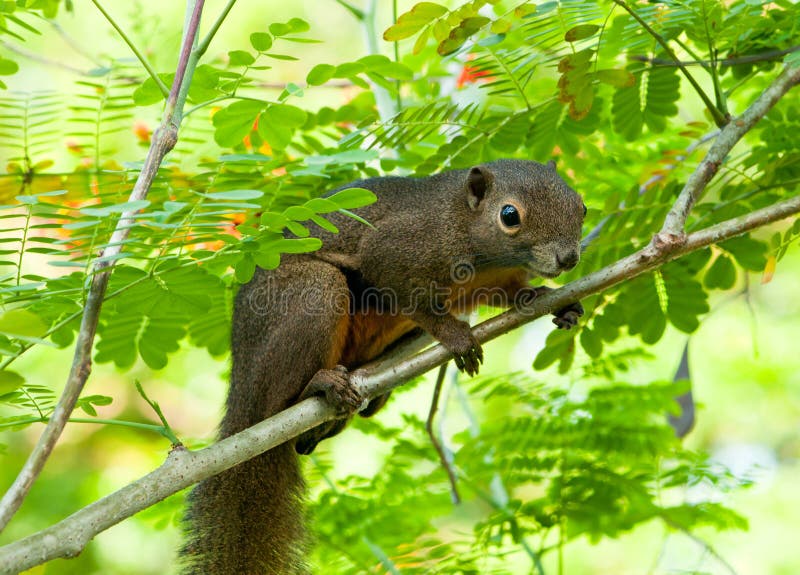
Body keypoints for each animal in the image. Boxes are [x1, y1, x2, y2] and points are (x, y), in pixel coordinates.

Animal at [179, 159, 586, 575]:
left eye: (581, 207)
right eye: (509, 215)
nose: (568, 258)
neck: (463, 225)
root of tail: (241, 386)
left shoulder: (491, 282)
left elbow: (510, 293)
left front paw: (552, 301)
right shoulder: (396, 249)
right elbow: (408, 293)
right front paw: (455, 336)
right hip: (310, 297)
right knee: (279, 398)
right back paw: (319, 386)